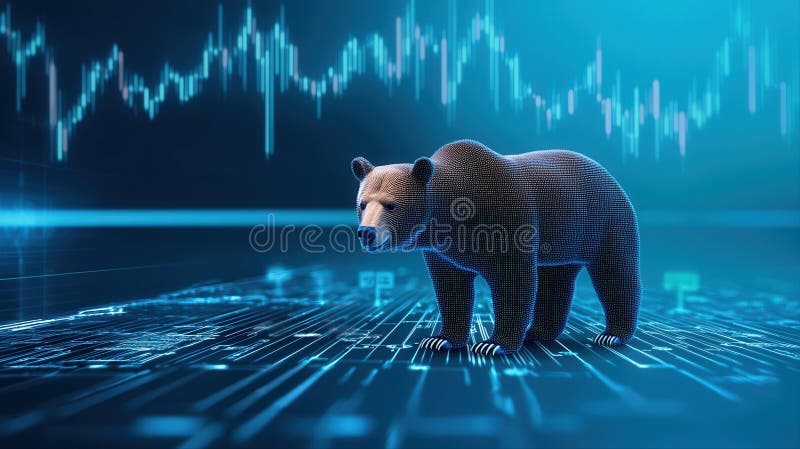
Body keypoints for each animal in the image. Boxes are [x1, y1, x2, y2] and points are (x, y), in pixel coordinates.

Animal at [350, 139, 640, 355]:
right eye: (362, 203)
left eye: (390, 204)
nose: (367, 233)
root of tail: (611, 177)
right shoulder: (444, 251)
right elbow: (451, 287)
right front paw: (440, 339)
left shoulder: (507, 220)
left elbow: (513, 280)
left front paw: (493, 344)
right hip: (563, 240)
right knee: (556, 279)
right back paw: (537, 332)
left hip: (605, 223)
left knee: (615, 273)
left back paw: (612, 335)